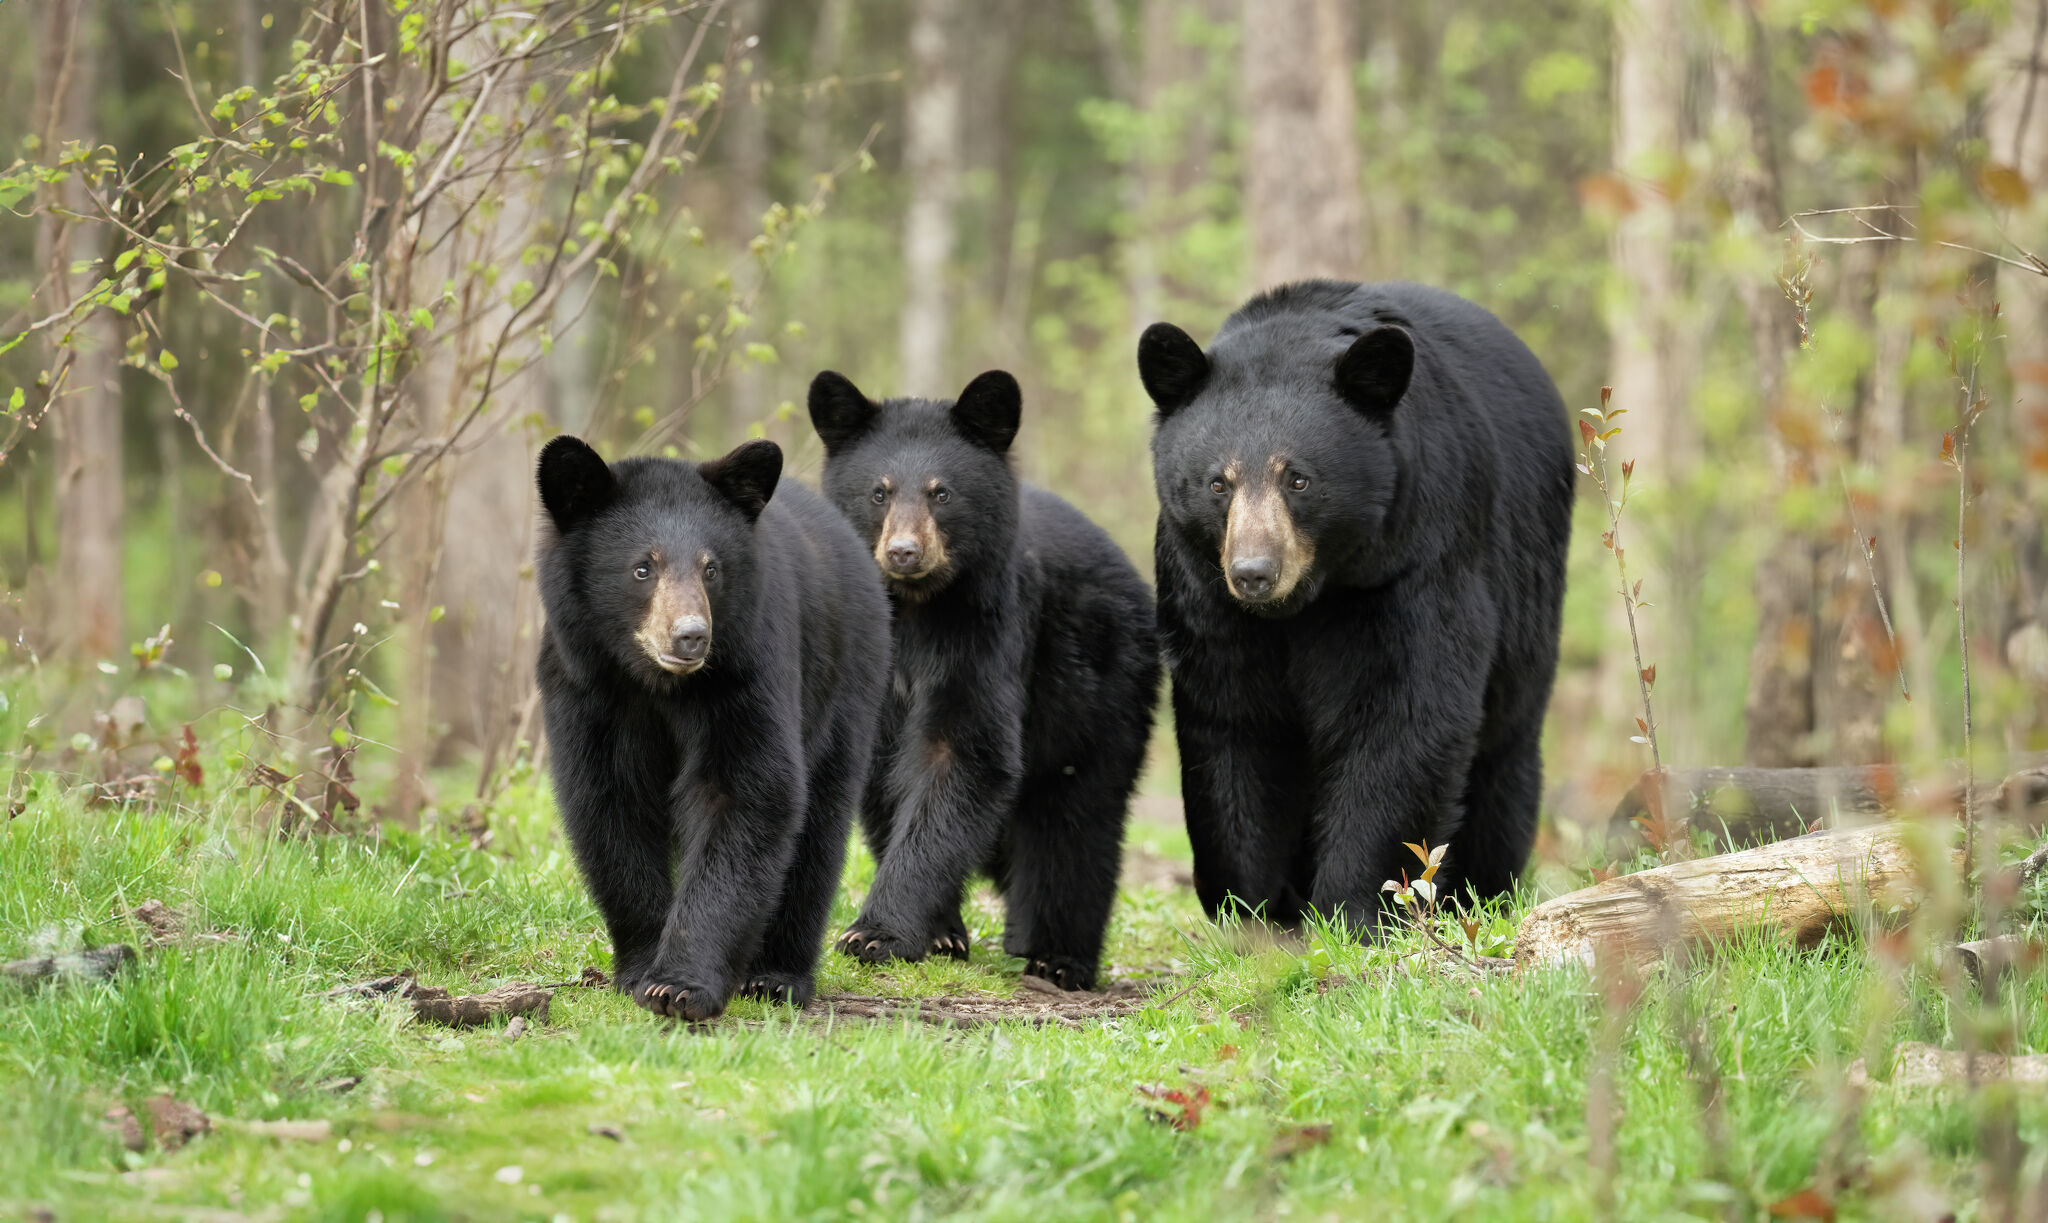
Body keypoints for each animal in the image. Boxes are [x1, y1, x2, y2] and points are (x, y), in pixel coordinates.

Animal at [534, 435, 890, 1020]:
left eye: (710, 570)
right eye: (643, 568)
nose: (690, 637)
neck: (658, 683)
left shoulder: (746, 671)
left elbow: (747, 793)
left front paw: (678, 986)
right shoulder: (586, 684)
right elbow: (609, 804)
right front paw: (640, 970)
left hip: (845, 680)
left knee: (819, 826)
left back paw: (778, 975)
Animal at [807, 368, 1160, 991]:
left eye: (941, 492)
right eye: (879, 492)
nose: (903, 552)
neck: (917, 609)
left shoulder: (987, 631)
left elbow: (965, 755)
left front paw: (875, 933)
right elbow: (883, 777)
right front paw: (940, 933)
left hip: (1103, 691)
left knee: (1077, 821)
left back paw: (1058, 957)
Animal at [1136, 280, 1573, 930]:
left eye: (1298, 479)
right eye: (1218, 483)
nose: (1253, 573)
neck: (1308, 598)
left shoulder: (1414, 559)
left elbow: (1404, 712)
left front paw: (1356, 908)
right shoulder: (1204, 590)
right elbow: (1234, 719)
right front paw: (1250, 906)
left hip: (1531, 594)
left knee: (1505, 754)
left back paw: (1482, 888)